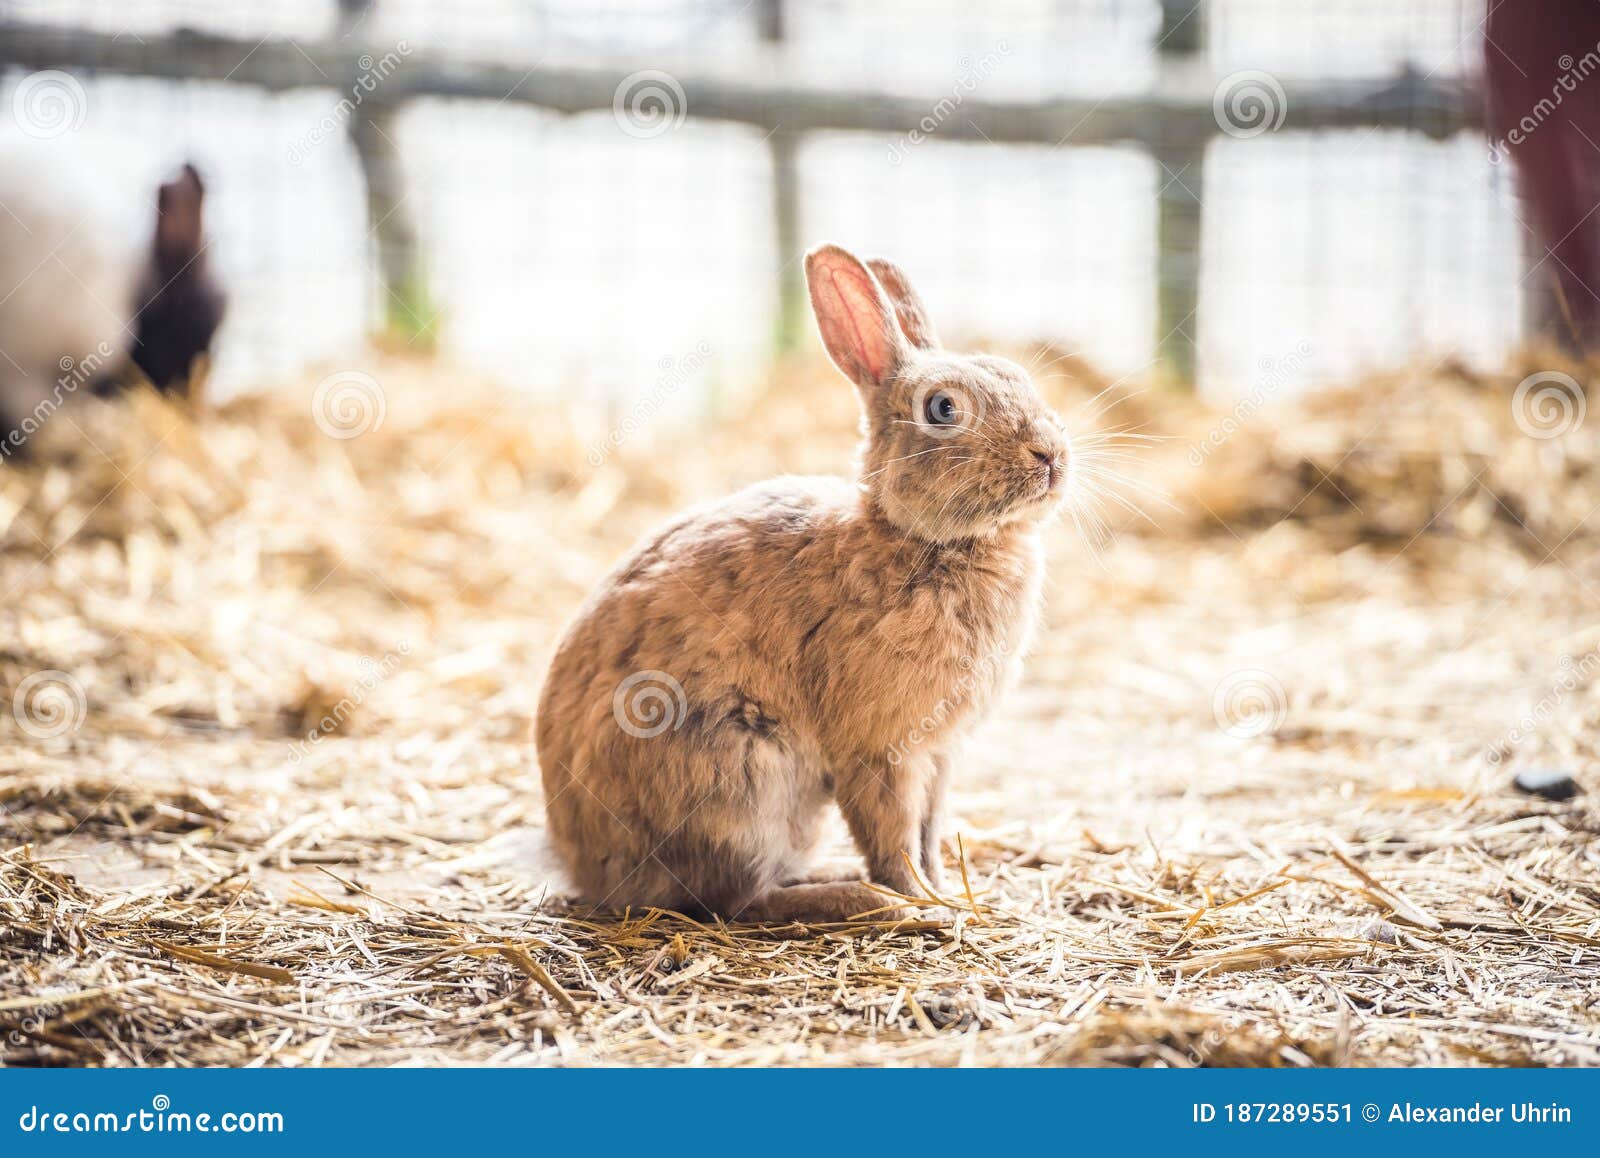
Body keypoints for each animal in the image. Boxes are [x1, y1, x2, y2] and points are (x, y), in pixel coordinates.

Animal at [536, 243, 1069, 923]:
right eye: (943, 409)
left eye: (1017, 375)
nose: (1050, 456)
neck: (917, 540)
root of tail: (589, 868)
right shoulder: (882, 751)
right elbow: (894, 834)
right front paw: (920, 904)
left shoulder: (941, 755)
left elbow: (928, 831)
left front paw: (947, 893)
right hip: (741, 777)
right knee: (739, 899)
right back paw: (856, 897)